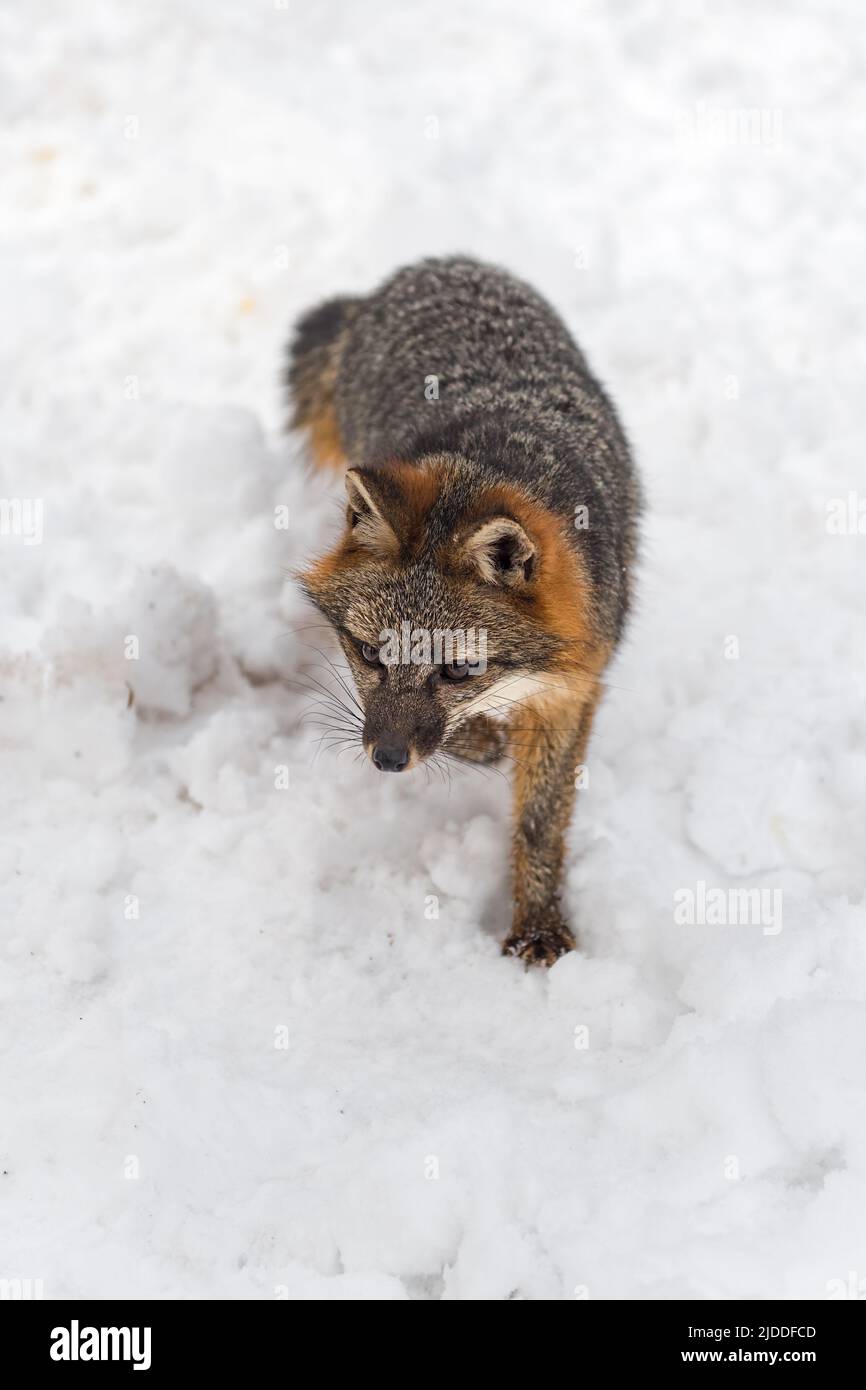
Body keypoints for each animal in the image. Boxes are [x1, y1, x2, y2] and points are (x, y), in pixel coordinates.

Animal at [286, 256, 641, 965]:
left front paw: (538, 924)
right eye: (369, 654)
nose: (387, 759)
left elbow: (538, 823)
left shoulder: (573, 687)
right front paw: (483, 738)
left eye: (458, 669)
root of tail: (433, 265)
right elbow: (473, 738)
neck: (490, 464)